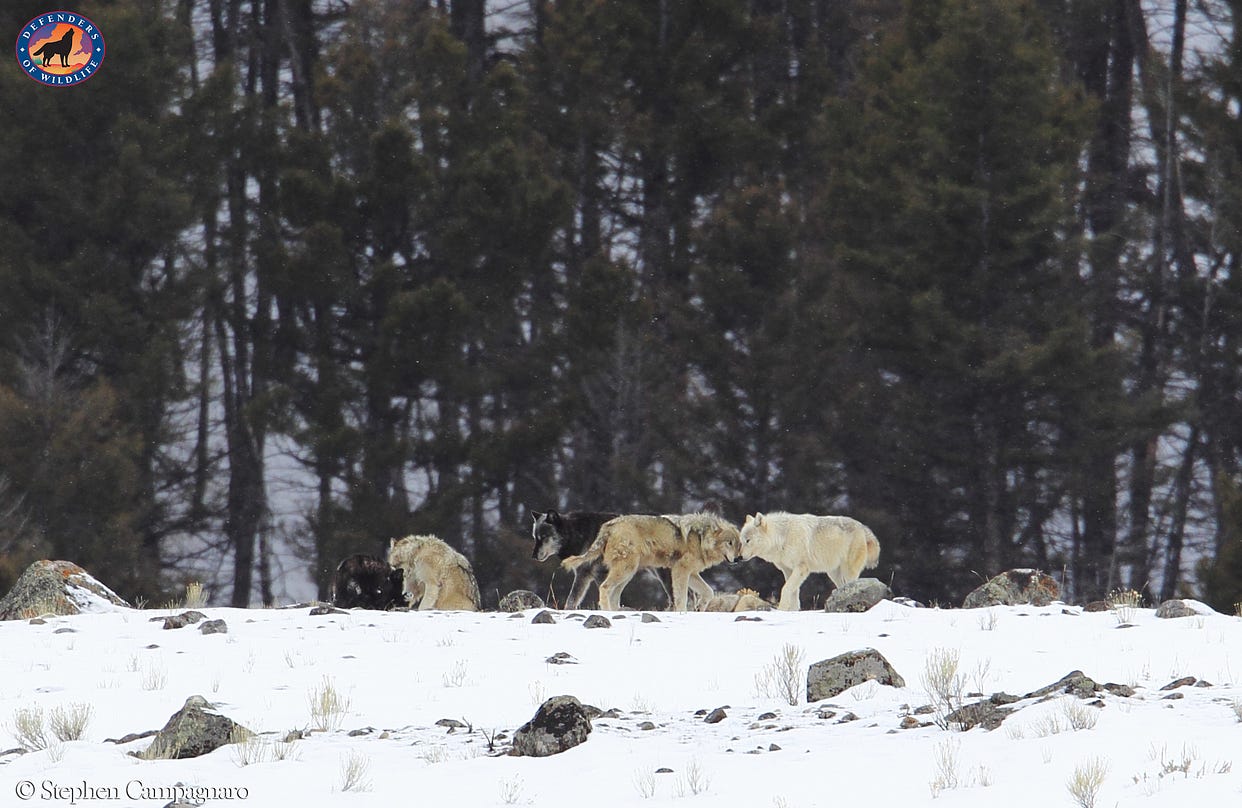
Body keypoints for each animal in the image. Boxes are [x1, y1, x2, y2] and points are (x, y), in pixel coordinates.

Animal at [562, 512, 741, 611]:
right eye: (729, 543)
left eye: (738, 544)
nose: (738, 559)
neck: (701, 538)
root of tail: (608, 526)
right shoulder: (680, 570)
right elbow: (682, 598)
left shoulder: (692, 573)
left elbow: (709, 592)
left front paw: (700, 608)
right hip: (626, 571)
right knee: (604, 588)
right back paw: (608, 612)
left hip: (628, 574)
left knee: (614, 596)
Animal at [735, 512, 881, 611]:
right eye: (741, 541)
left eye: (748, 540)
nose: (738, 558)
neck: (783, 538)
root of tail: (863, 527)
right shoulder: (788, 570)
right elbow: (793, 592)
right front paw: (792, 611)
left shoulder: (801, 568)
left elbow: (786, 589)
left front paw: (781, 609)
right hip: (834, 574)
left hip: (848, 572)